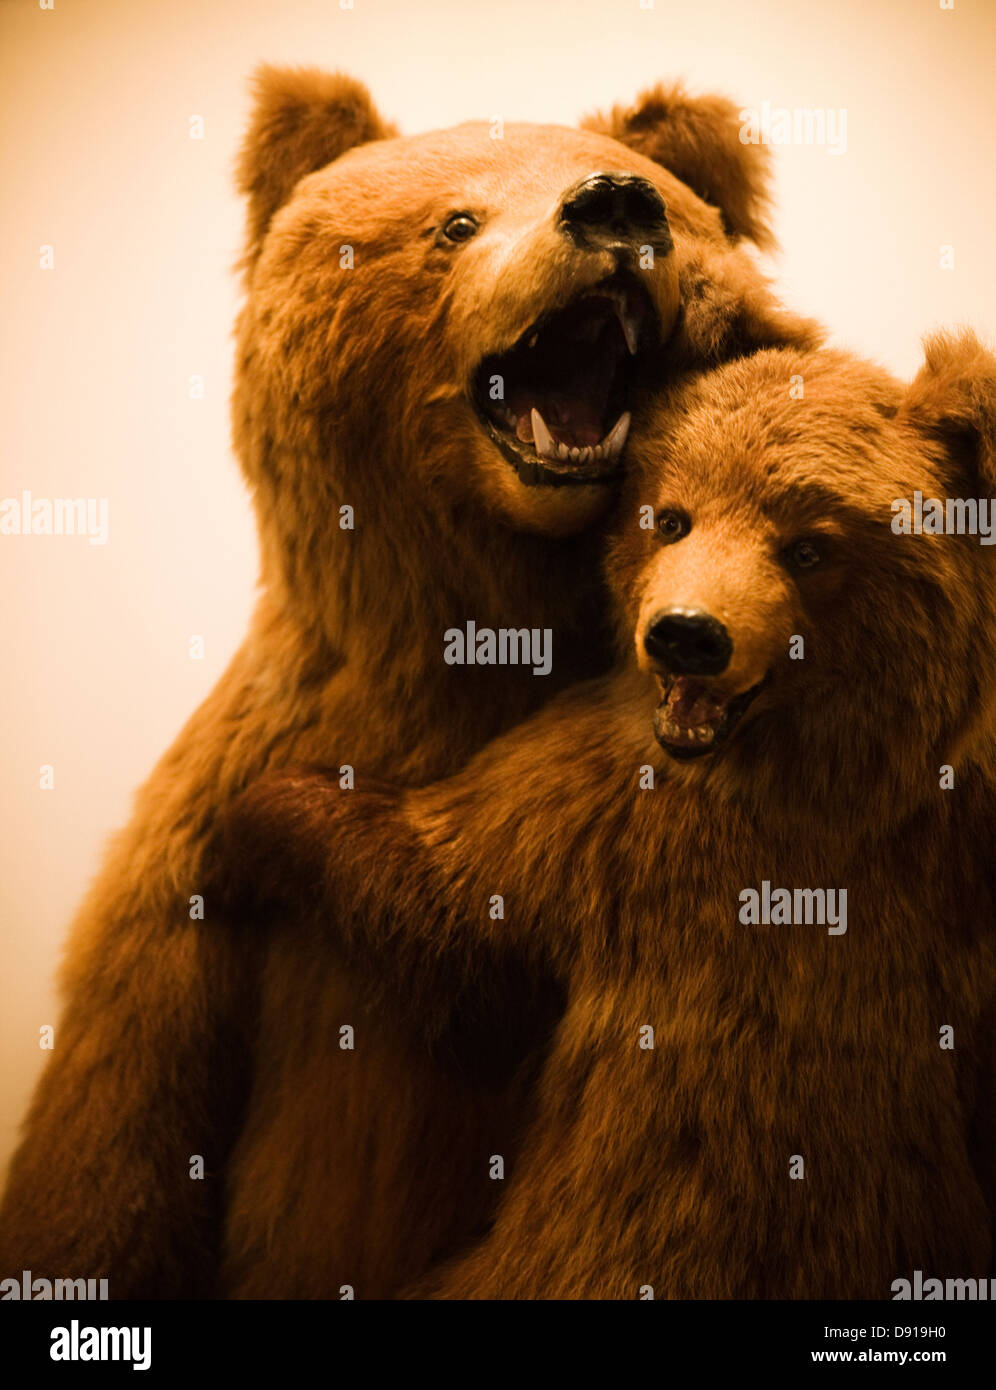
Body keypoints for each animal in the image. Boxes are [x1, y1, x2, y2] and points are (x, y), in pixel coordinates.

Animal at [219, 332, 996, 1298]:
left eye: (810, 546)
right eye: (673, 518)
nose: (688, 633)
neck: (801, 777)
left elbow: (446, 924)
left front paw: (248, 824)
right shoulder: (605, 822)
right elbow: (454, 914)